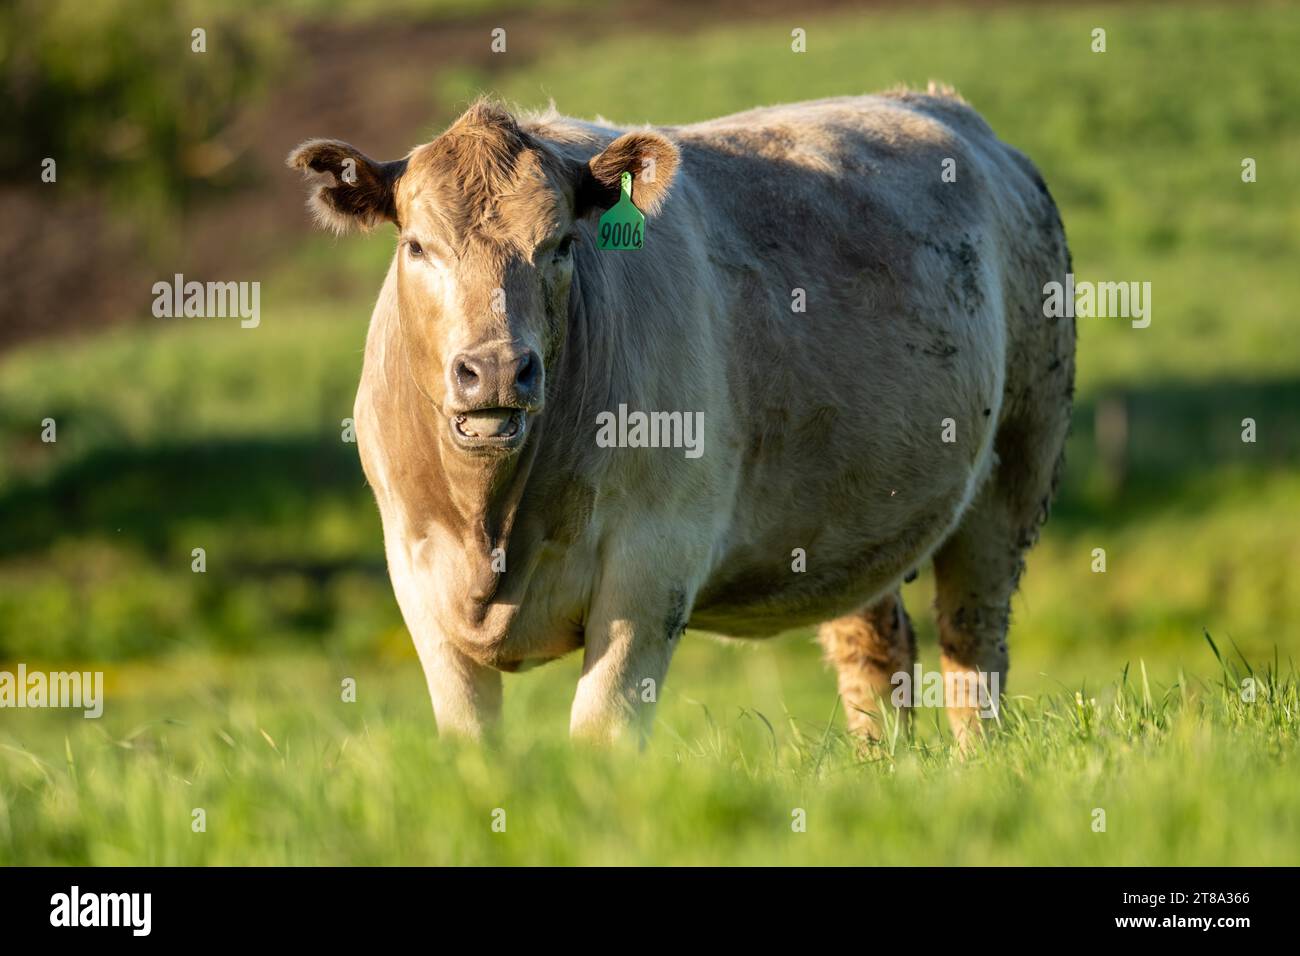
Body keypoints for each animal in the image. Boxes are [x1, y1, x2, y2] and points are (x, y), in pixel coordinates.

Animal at [288, 86, 1075, 749]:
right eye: (417, 245)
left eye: (561, 244)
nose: (499, 370)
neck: (492, 521)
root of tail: (947, 108)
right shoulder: (416, 573)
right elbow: (471, 741)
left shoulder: (651, 566)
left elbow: (602, 733)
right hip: (852, 509)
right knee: (876, 651)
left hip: (1015, 471)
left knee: (973, 648)